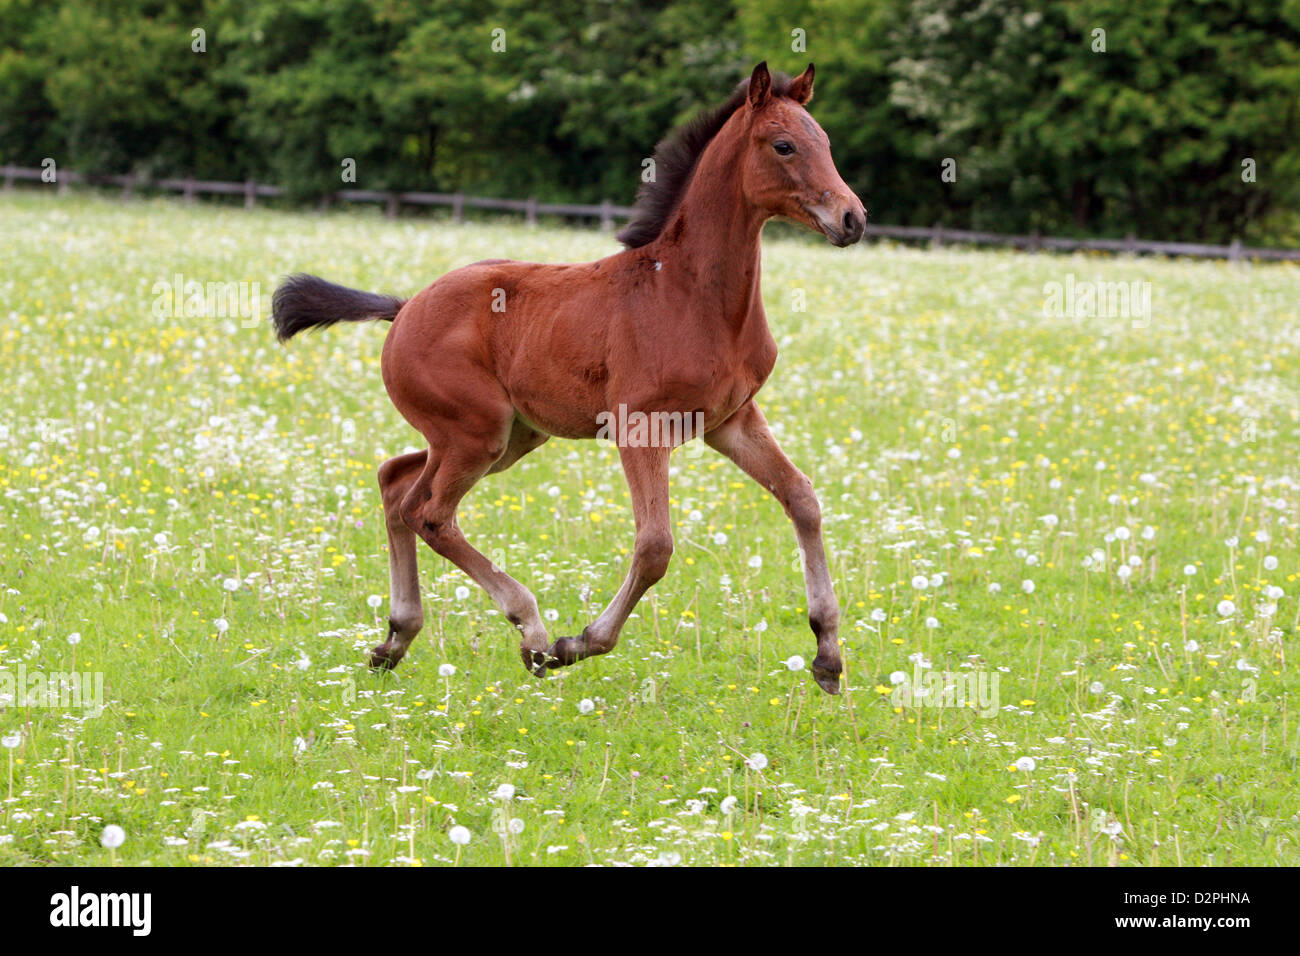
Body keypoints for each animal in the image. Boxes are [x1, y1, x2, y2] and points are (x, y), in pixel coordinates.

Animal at [272, 62, 865, 694]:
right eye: (784, 146)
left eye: (826, 142)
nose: (852, 218)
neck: (690, 293)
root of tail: (405, 307)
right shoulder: (640, 428)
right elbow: (655, 546)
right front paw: (577, 643)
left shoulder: (731, 420)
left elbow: (802, 498)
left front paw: (827, 654)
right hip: (475, 433)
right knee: (428, 512)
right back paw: (530, 631)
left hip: (505, 436)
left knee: (396, 483)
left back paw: (395, 639)